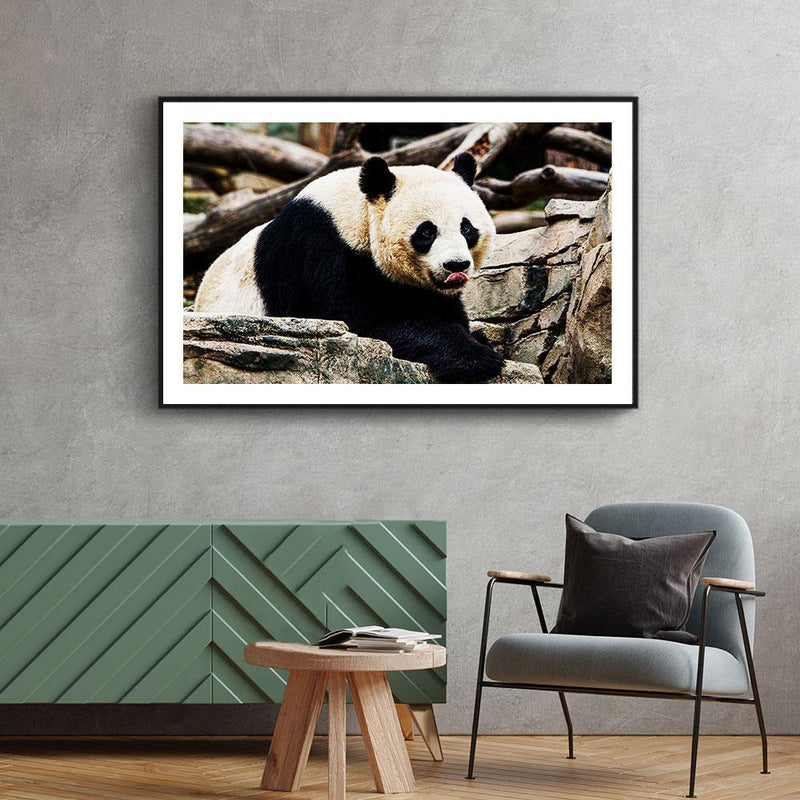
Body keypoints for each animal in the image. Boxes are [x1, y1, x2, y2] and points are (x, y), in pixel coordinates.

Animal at [194, 152, 504, 383]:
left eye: (466, 228)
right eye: (426, 232)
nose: (456, 265)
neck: (359, 213)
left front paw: (477, 338)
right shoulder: (321, 246)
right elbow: (355, 318)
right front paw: (477, 356)